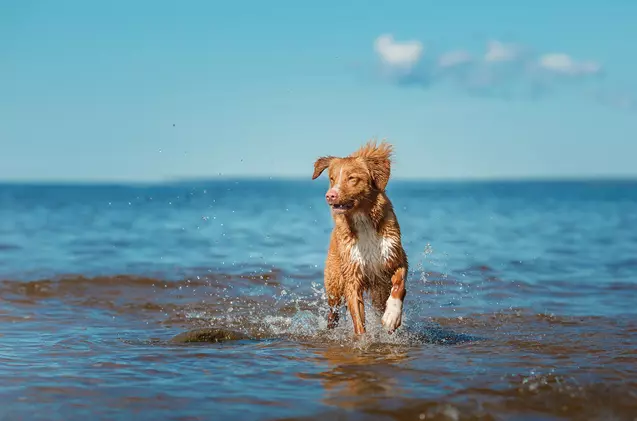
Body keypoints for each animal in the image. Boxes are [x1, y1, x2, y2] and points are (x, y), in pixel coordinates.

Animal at [312, 141, 408, 334]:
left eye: (352, 178)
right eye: (332, 178)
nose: (330, 195)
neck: (363, 221)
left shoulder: (395, 257)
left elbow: (399, 285)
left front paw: (392, 317)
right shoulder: (352, 276)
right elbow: (358, 320)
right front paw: (363, 339)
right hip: (334, 282)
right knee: (333, 312)